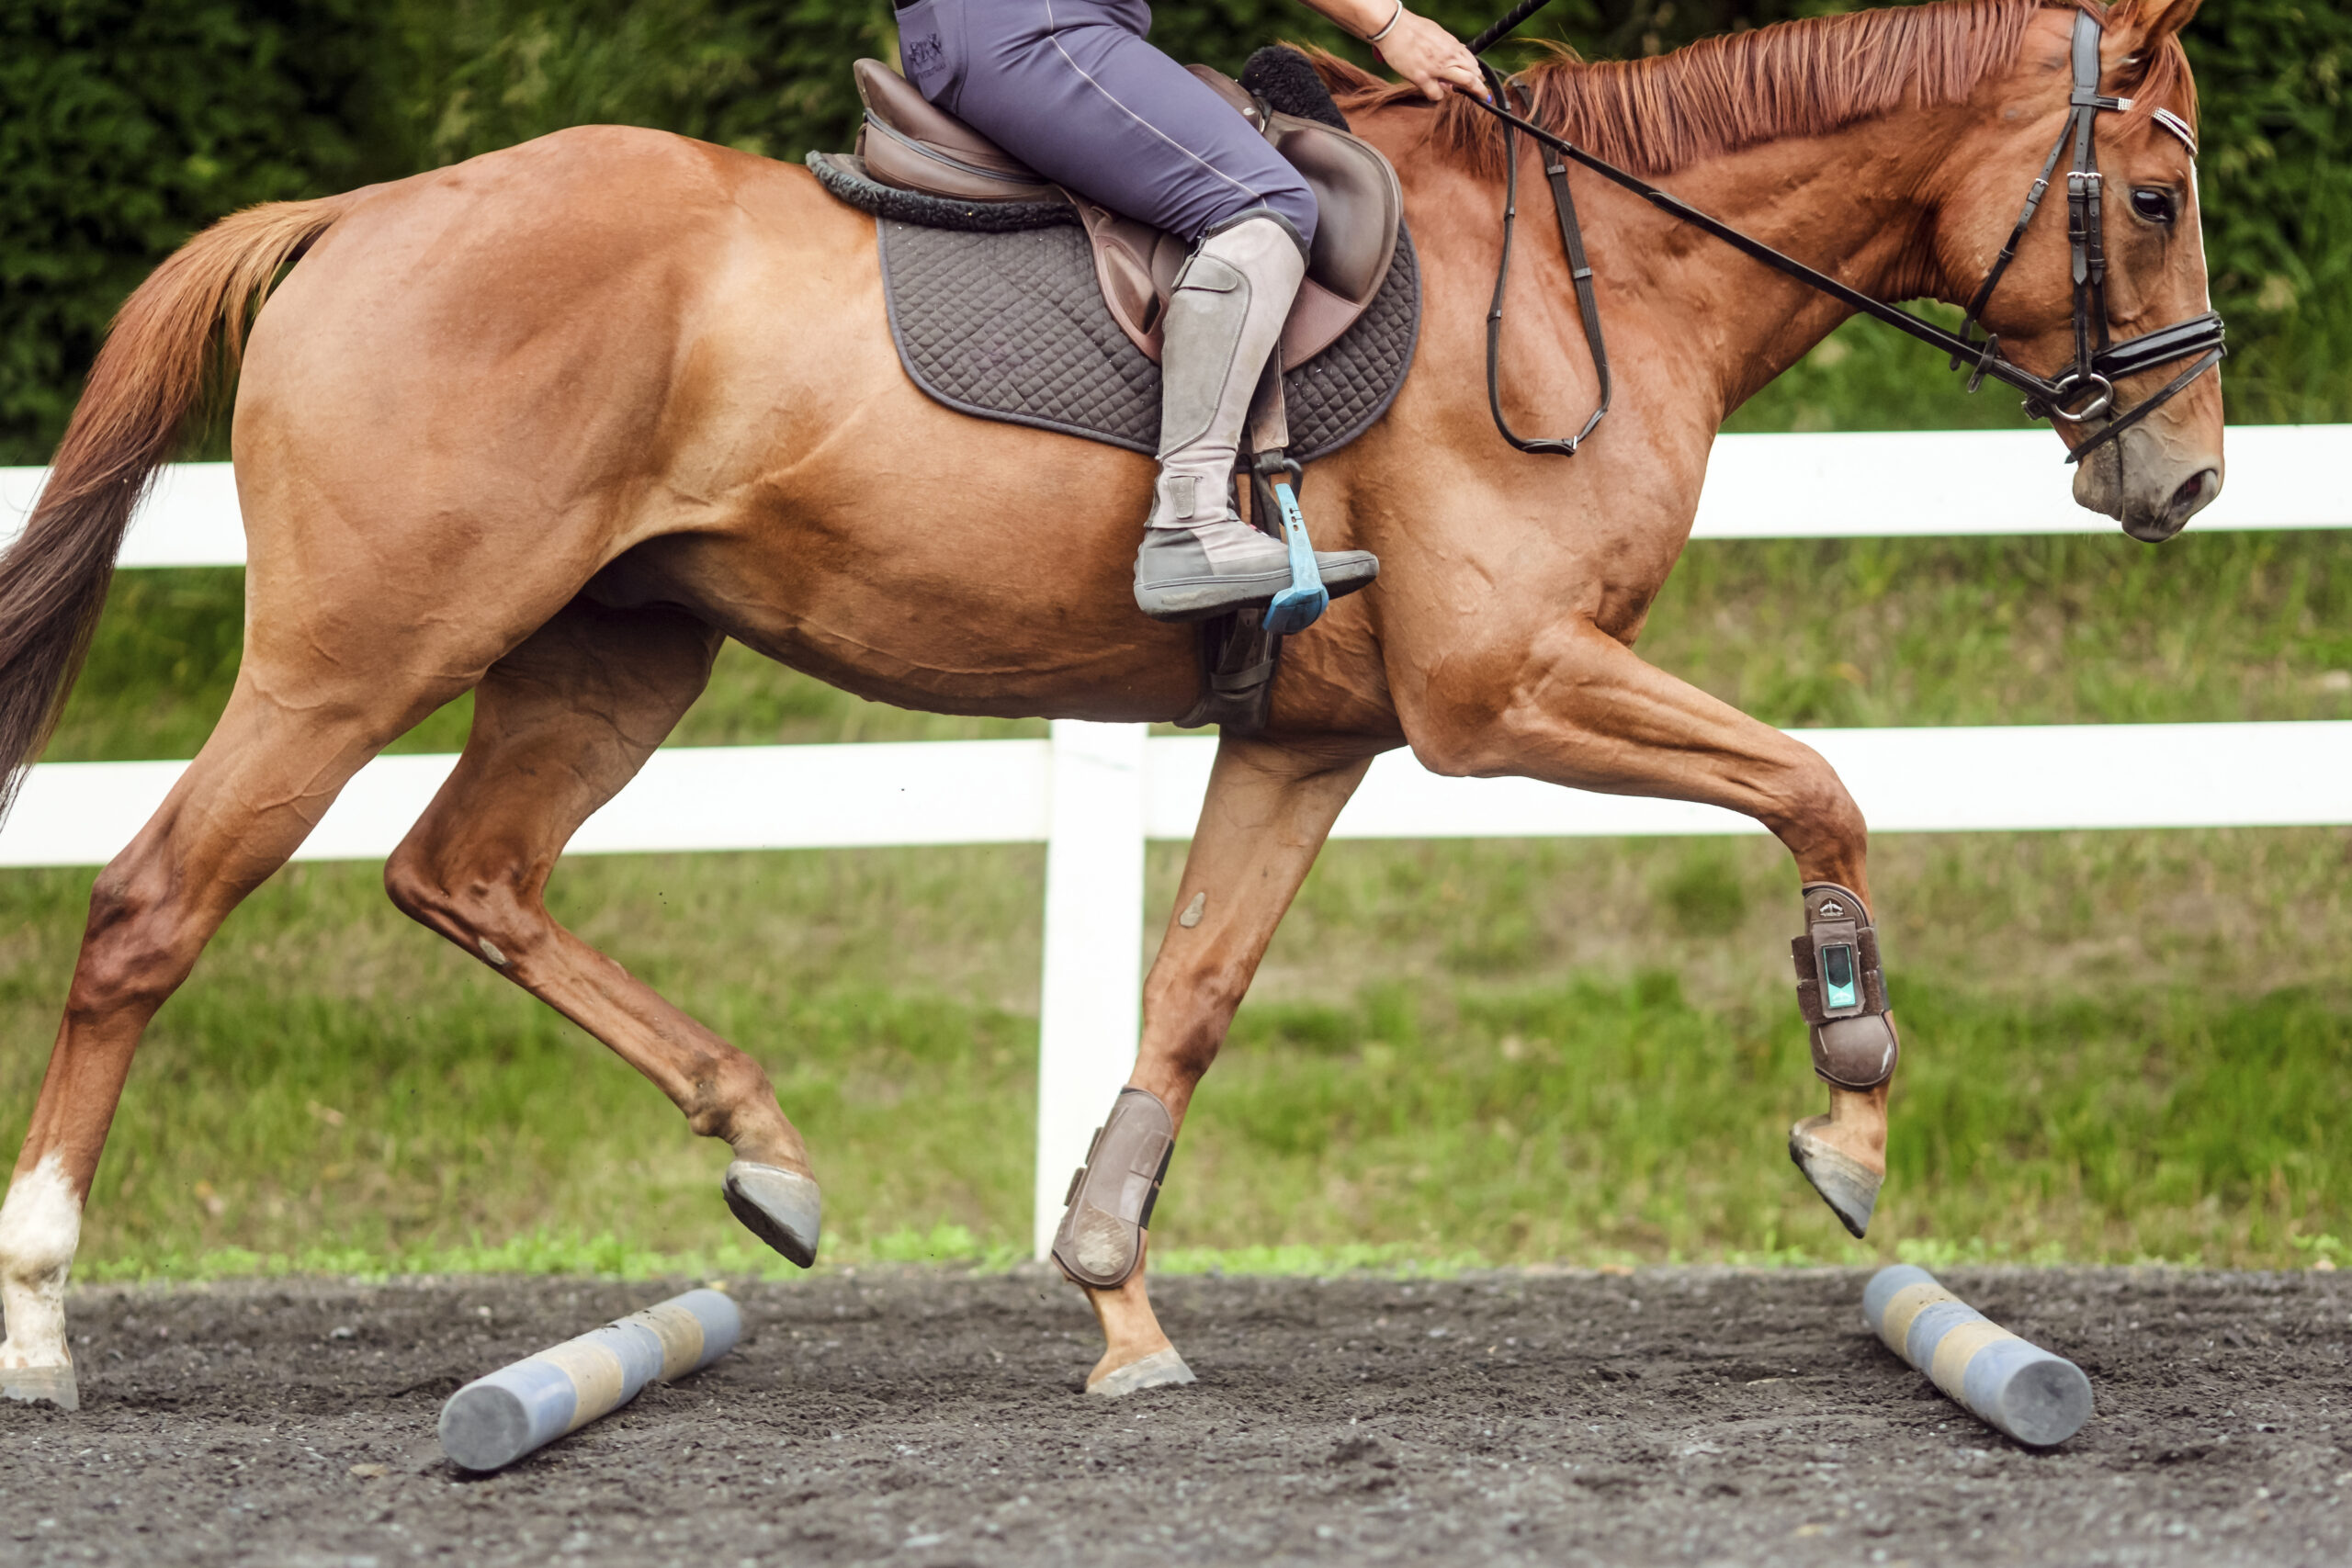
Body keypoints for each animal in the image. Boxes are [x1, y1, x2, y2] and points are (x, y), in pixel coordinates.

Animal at [0, 0, 2220, 1409]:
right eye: (2147, 200)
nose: (2182, 475)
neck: (1610, 271)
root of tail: (358, 213)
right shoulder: (1505, 686)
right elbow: (1819, 786)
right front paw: (1846, 1118)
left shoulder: (1315, 734)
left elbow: (1192, 993)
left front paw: (1113, 1295)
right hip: (354, 652)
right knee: (153, 908)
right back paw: (36, 1315)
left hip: (615, 649)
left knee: (465, 872)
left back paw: (769, 1153)